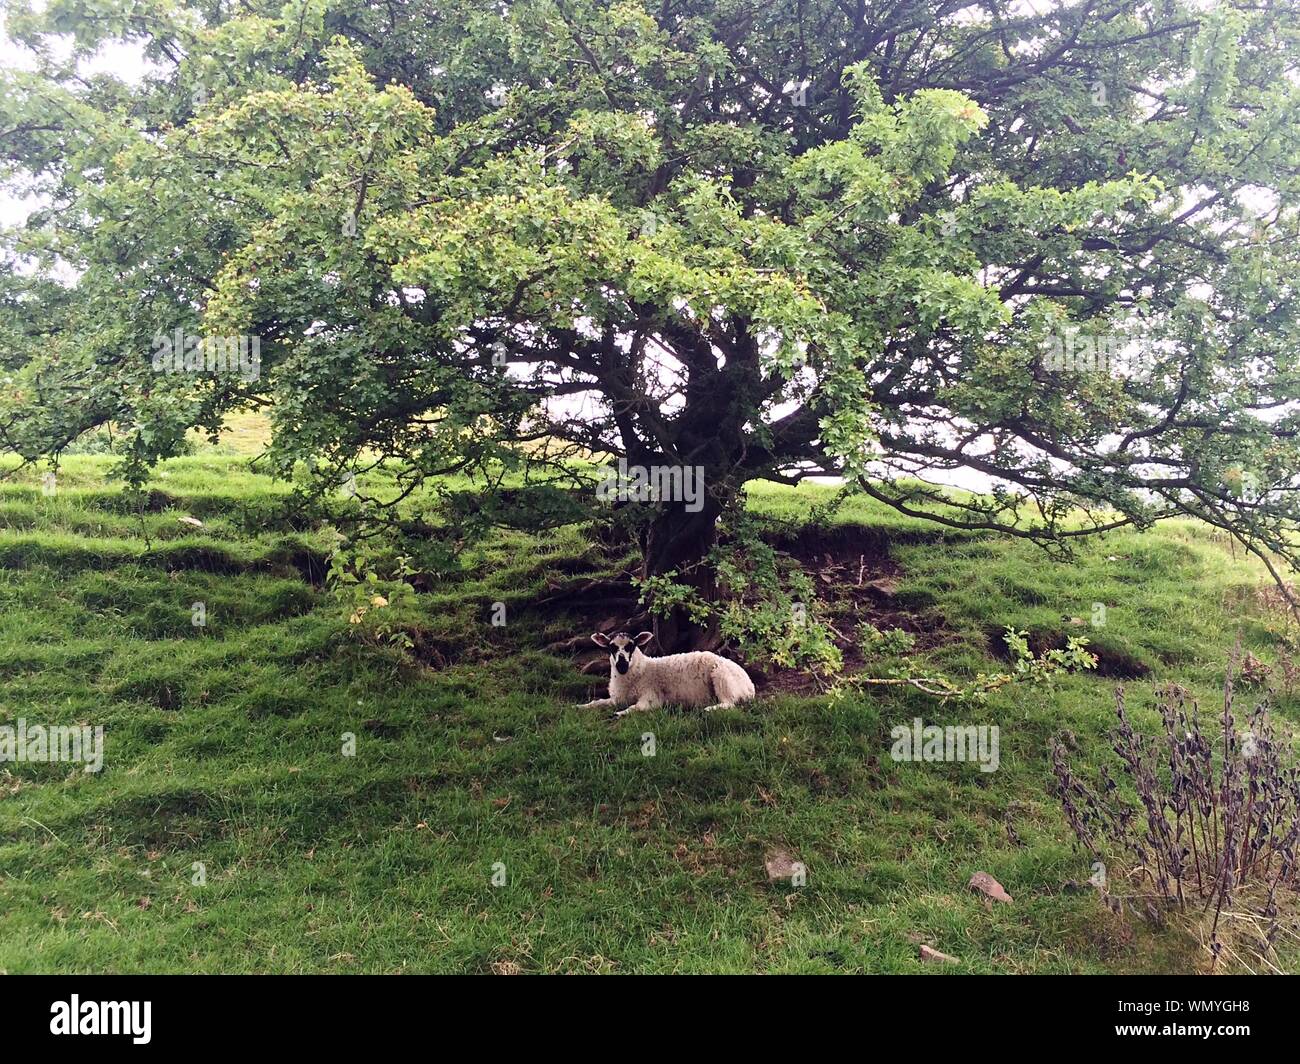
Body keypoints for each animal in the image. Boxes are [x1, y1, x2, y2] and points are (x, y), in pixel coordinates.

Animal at [576, 631, 756, 717]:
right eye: (611, 647)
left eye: (631, 645)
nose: (621, 665)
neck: (641, 669)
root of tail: (750, 686)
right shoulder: (616, 699)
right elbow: (597, 702)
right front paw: (579, 707)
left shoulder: (652, 697)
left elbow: (636, 707)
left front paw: (619, 714)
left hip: (721, 678)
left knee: (729, 703)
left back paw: (708, 709)